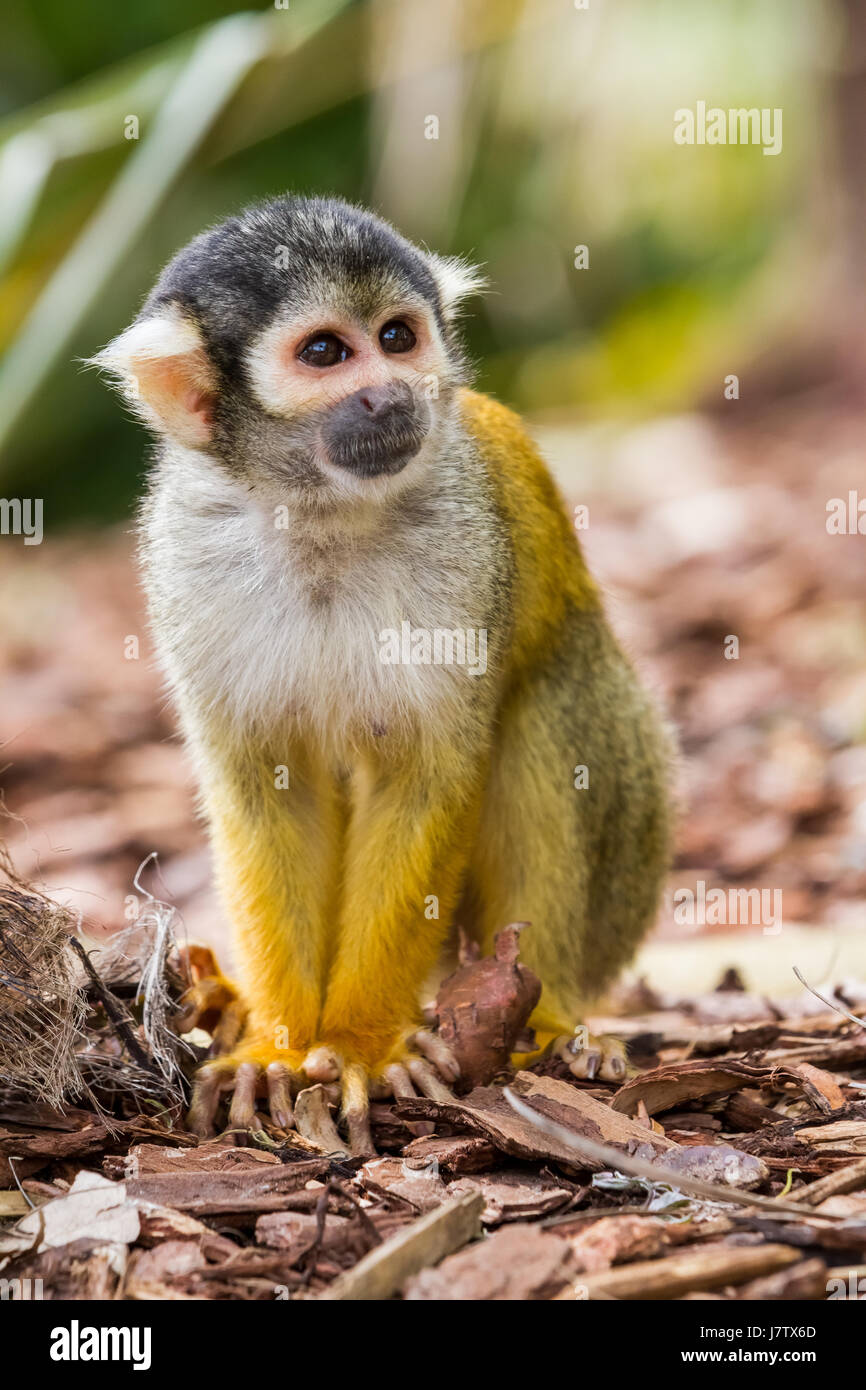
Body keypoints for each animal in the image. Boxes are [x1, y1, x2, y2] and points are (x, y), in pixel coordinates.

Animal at [92, 194, 672, 1153]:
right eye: (327, 352)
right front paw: (281, 1048)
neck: (321, 515)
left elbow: (428, 774)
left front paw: (362, 1044)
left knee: (546, 709)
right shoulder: (187, 550)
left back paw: (551, 1027)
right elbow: (269, 786)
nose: (391, 392)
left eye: (397, 337)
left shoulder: (463, 549)